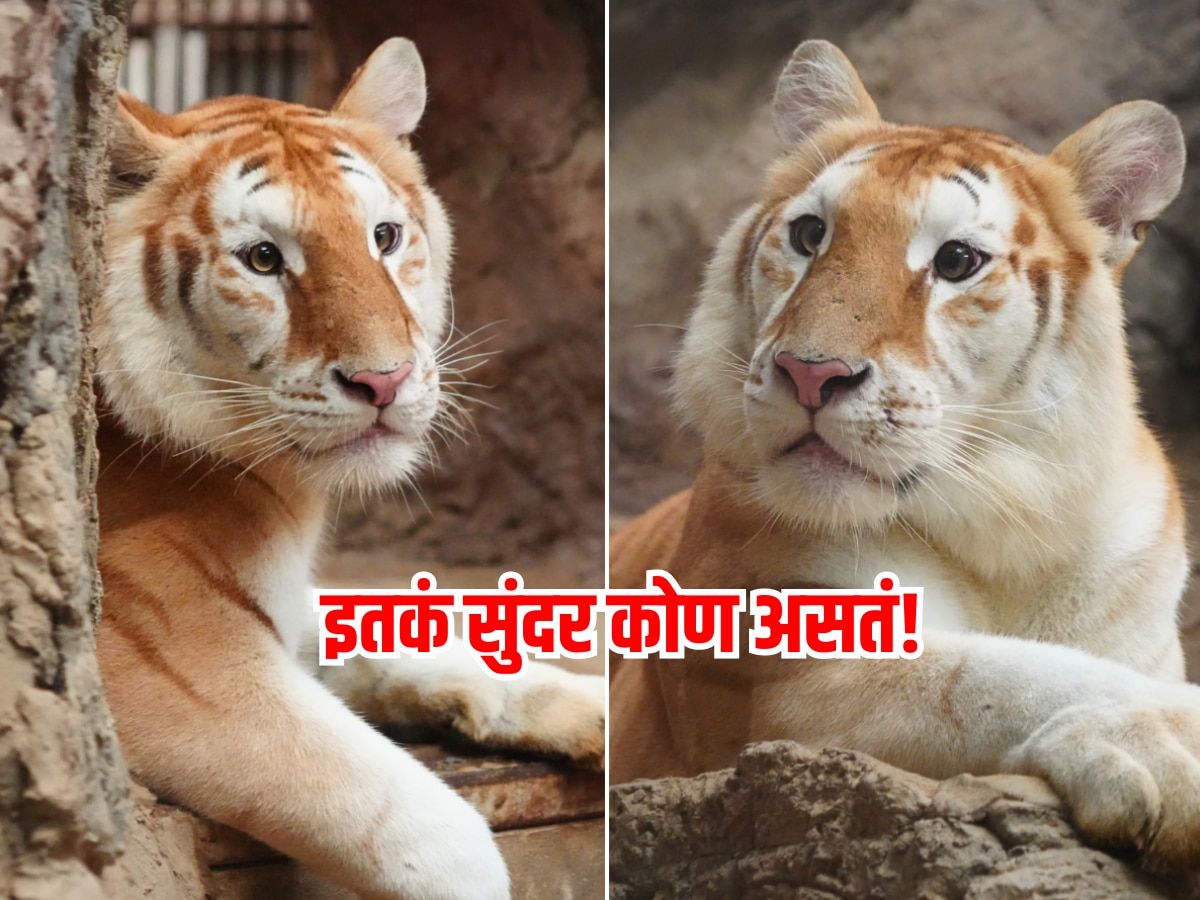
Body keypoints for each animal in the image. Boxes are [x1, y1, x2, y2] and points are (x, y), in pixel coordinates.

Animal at [95, 38, 603, 900]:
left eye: (385, 237)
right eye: (264, 259)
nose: (384, 381)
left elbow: (395, 635)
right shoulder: (174, 666)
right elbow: (437, 836)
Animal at [609, 39, 1200, 869]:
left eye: (956, 261)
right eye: (811, 235)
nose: (810, 373)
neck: (1012, 536)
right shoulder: (796, 678)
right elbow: (994, 675)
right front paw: (1159, 749)